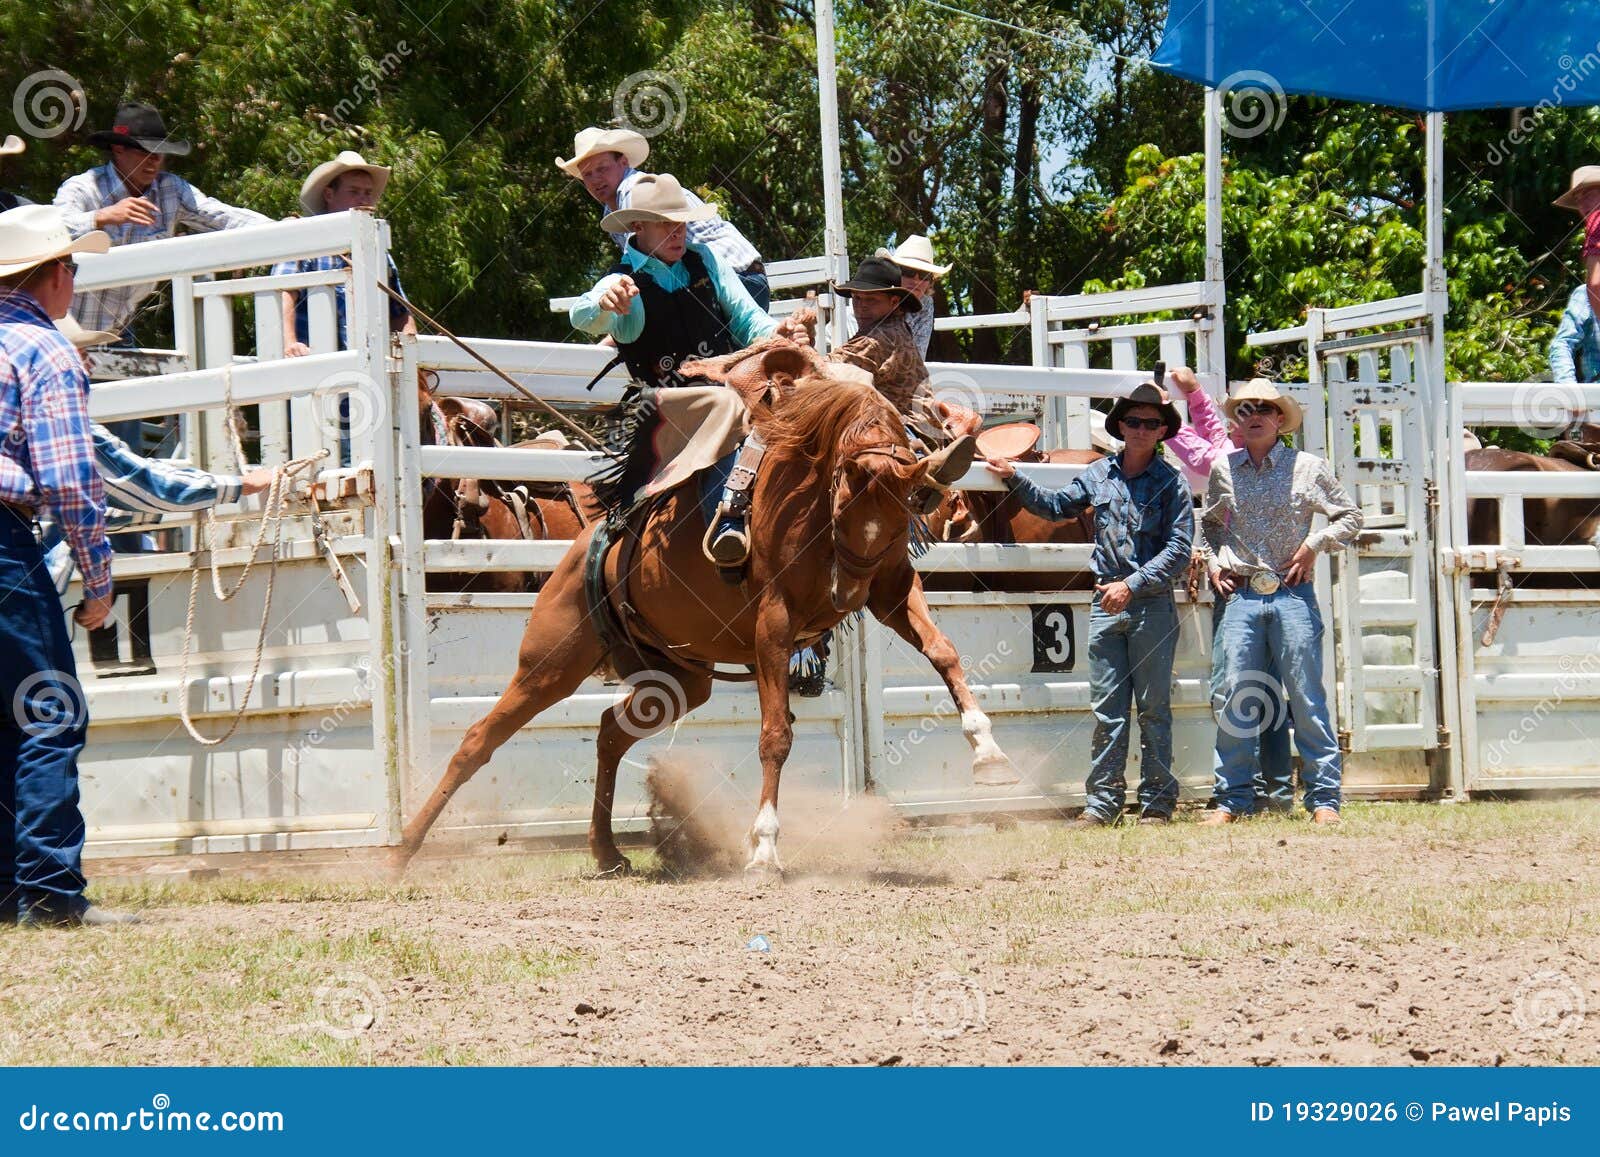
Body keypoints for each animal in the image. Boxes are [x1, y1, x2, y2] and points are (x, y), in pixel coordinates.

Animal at [389, 344, 1020, 877]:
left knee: (610, 732)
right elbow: (775, 736)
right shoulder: (774, 622)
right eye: (840, 502)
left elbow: (943, 652)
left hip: (677, 680)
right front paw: (763, 849)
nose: (844, 595)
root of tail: (590, 543)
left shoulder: (892, 589)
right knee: (479, 738)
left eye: (902, 516)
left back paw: (607, 851)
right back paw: (401, 851)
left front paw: (989, 753)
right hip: (551, 660)